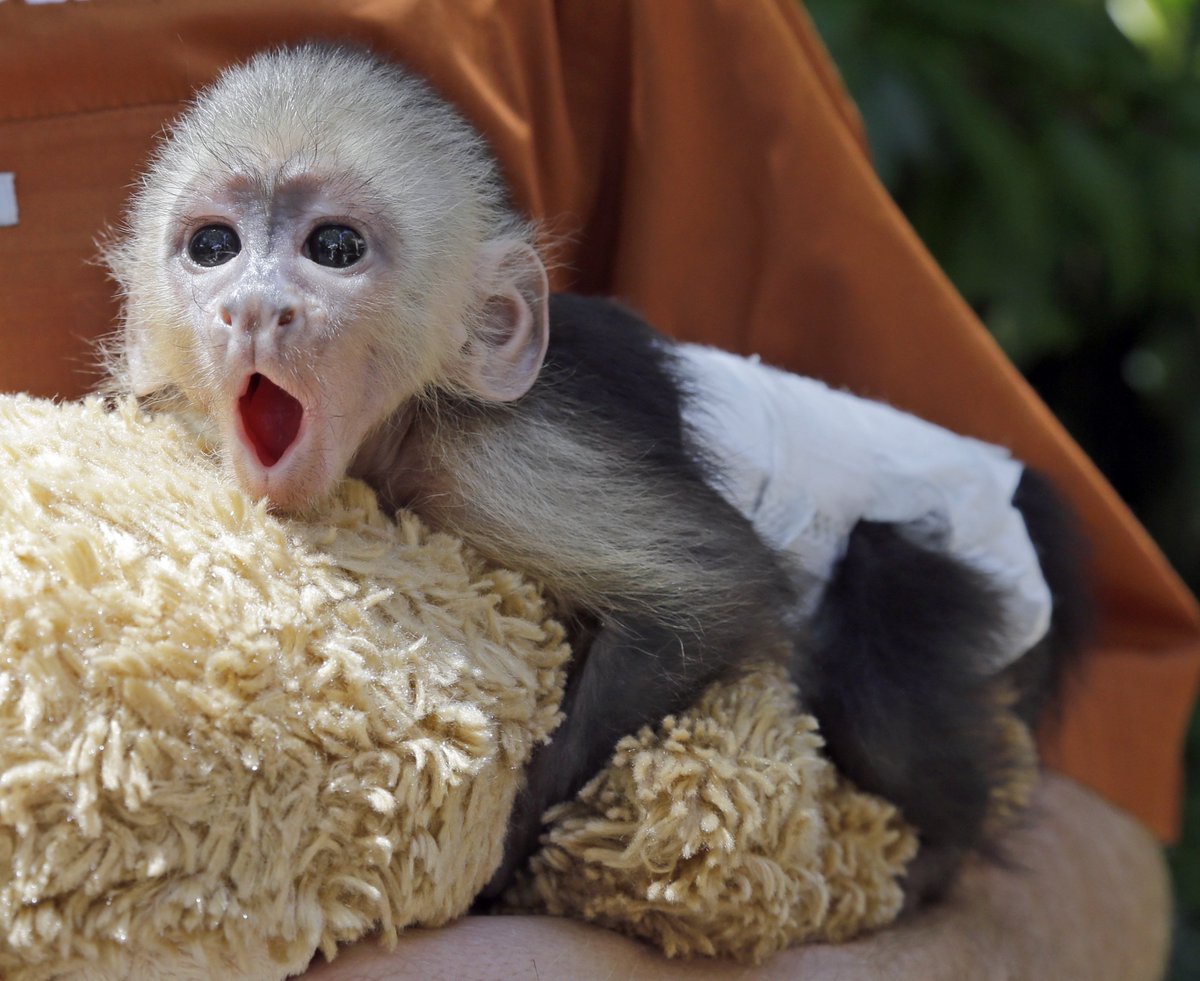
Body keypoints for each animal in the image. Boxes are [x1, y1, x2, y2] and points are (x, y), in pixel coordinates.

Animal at [102, 44, 1087, 903]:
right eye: (215, 247)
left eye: (334, 247)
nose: (253, 309)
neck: (400, 428)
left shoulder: (499, 456)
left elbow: (714, 586)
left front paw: (505, 860)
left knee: (880, 658)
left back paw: (944, 845)